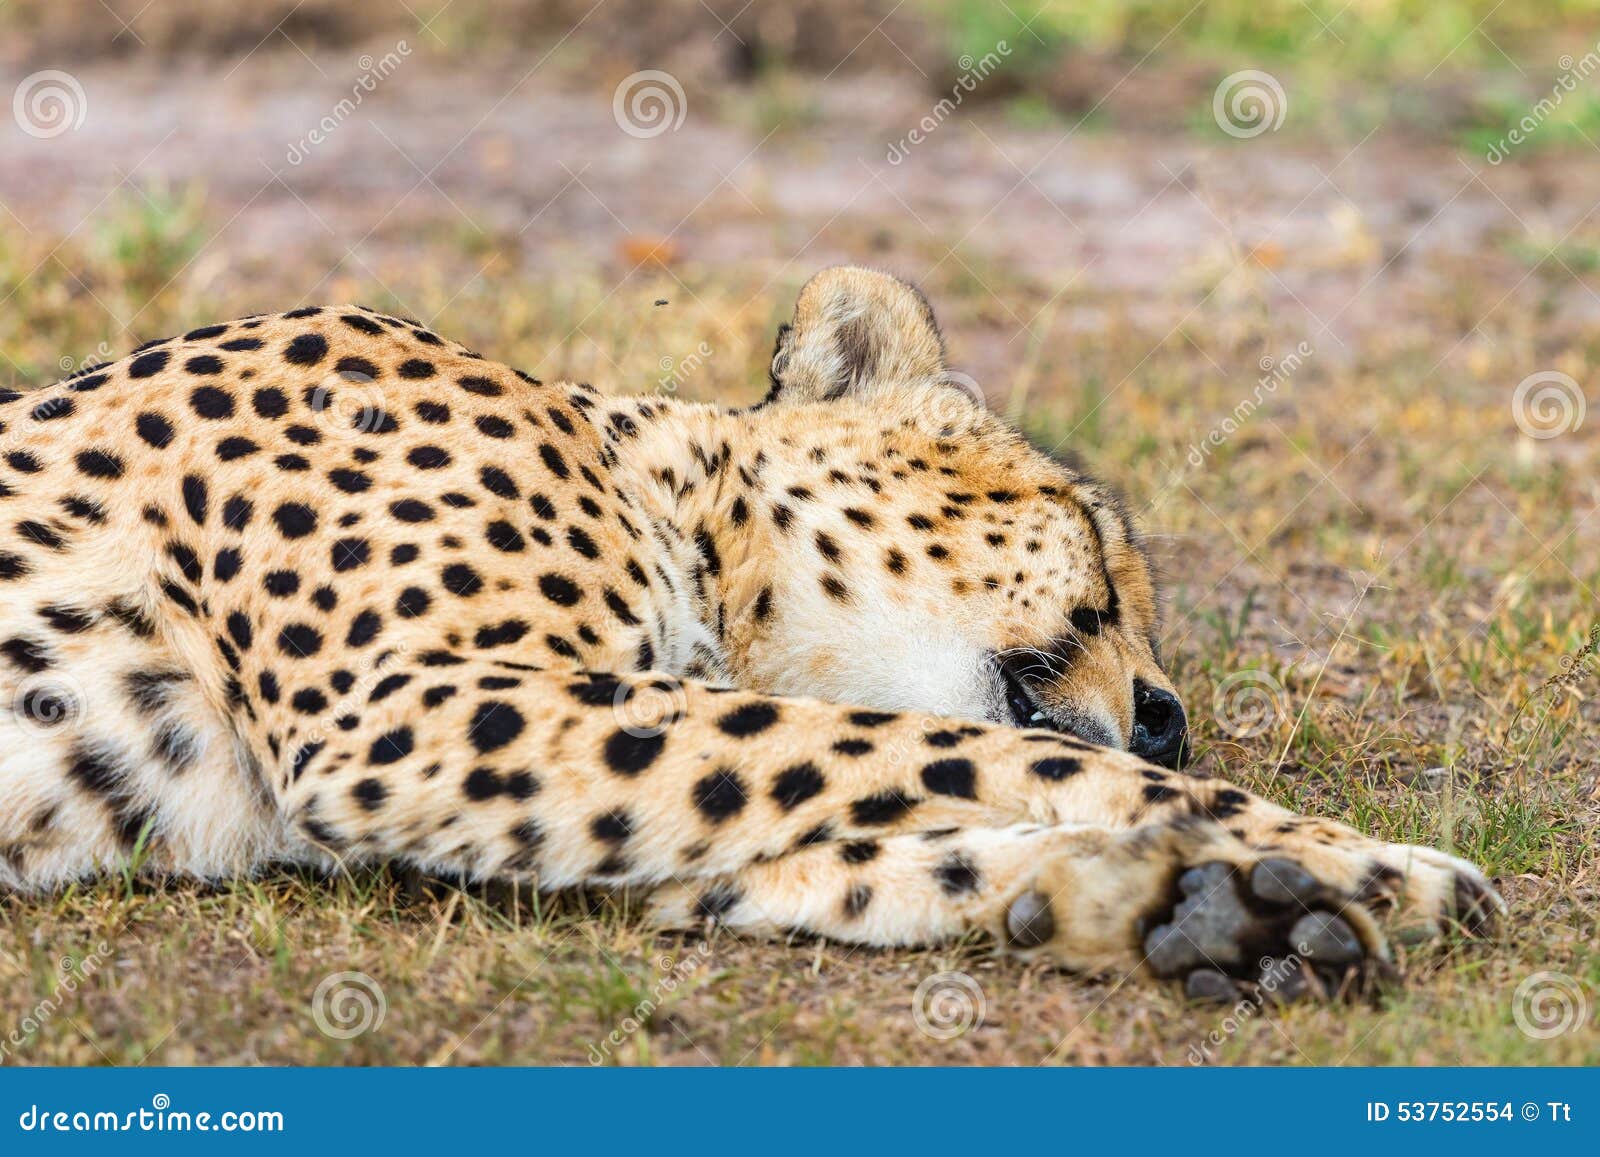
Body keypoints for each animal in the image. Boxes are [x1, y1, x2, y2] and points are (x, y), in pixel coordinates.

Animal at [0, 266, 1501, 1000]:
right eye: (1094, 532)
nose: (1170, 709)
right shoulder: (414, 712)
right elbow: (969, 754)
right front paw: (1351, 858)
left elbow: (861, 848)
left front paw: (1214, 907)